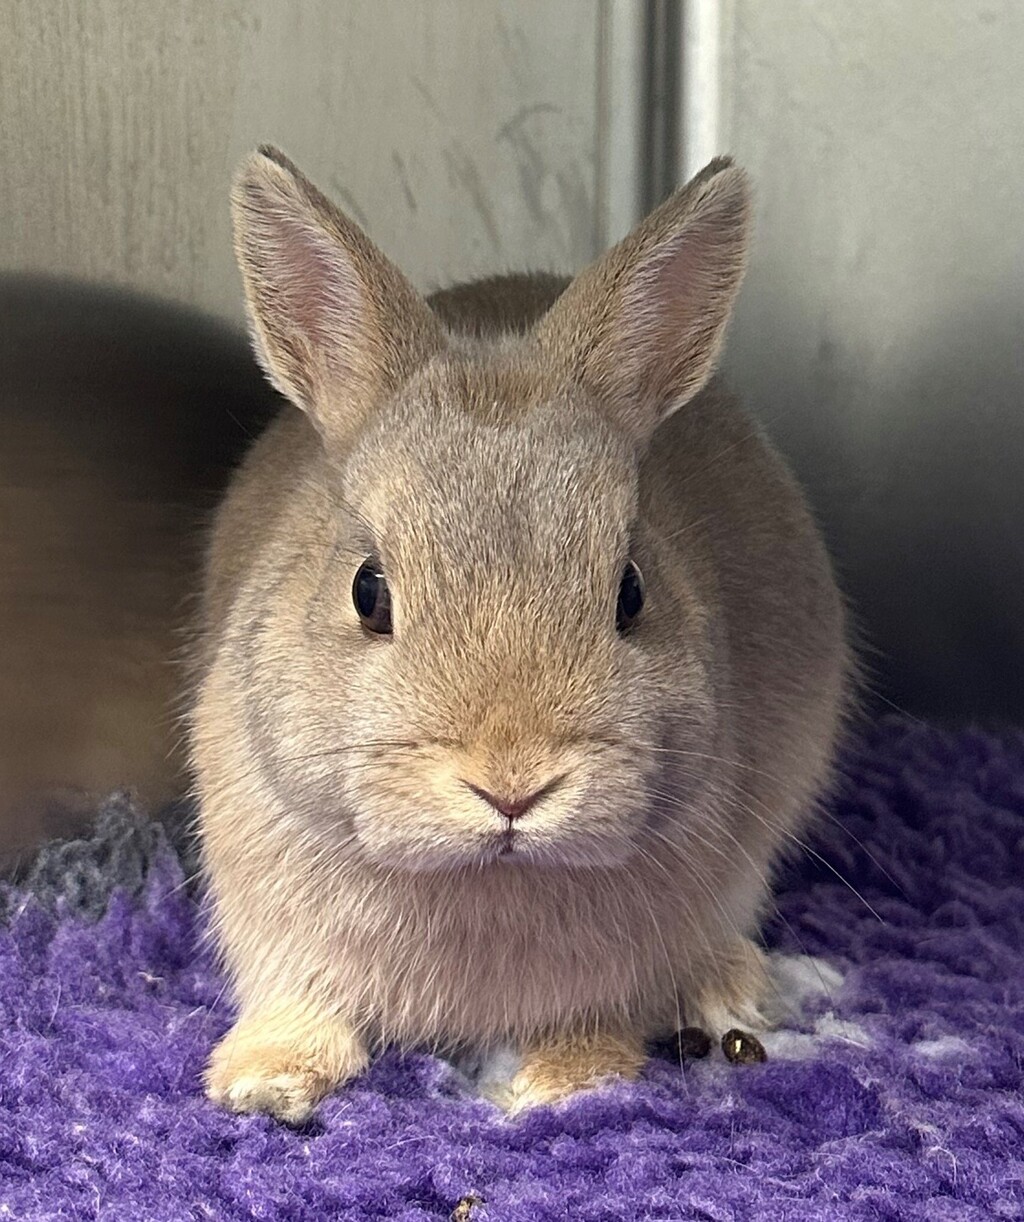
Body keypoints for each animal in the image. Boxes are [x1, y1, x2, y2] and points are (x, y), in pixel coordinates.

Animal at [194, 145, 849, 1123]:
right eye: (367, 590)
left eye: (631, 591)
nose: (512, 787)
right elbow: (299, 1001)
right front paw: (262, 1081)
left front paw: (561, 1085)